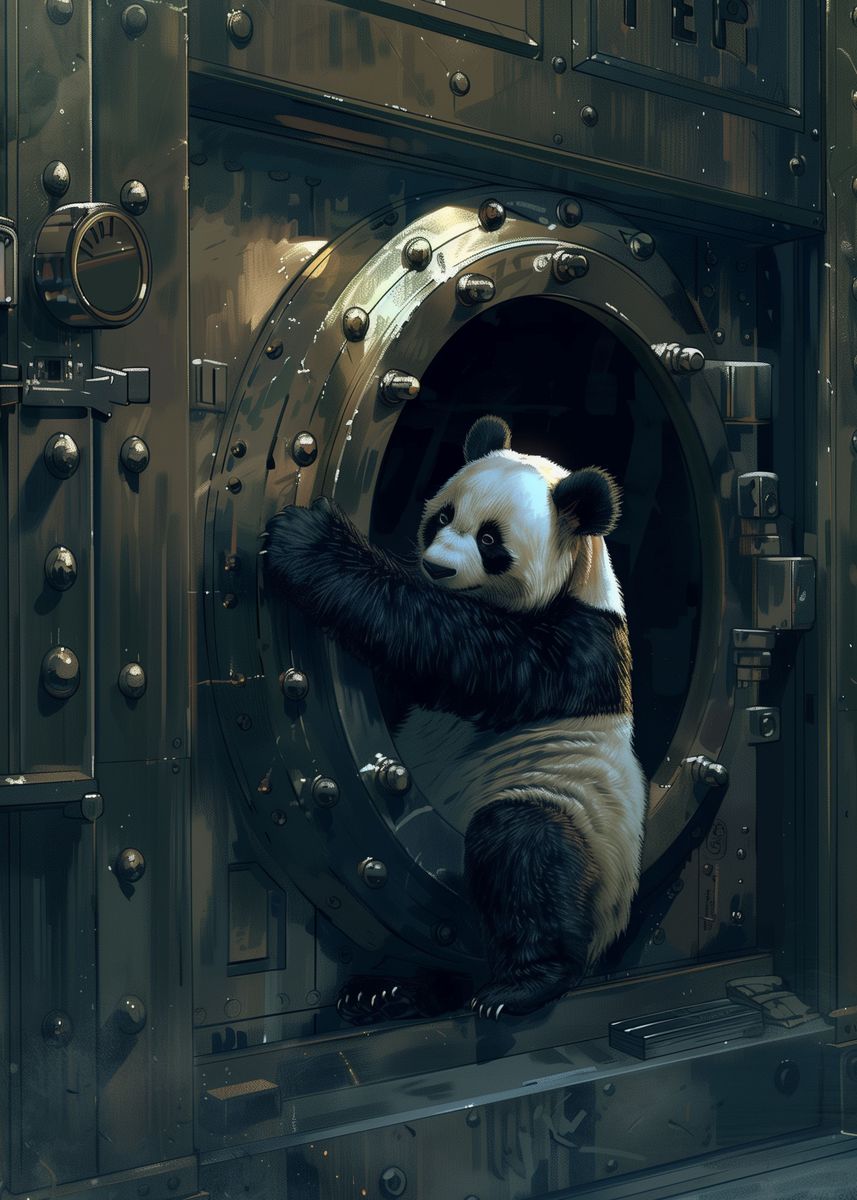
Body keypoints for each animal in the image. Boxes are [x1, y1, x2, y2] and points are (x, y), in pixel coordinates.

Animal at [264, 414, 647, 1020]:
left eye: (490, 541)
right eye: (442, 516)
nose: (436, 566)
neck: (580, 581)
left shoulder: (568, 651)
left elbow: (442, 640)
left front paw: (307, 539)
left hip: (578, 820)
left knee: (526, 852)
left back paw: (522, 984)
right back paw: (387, 990)